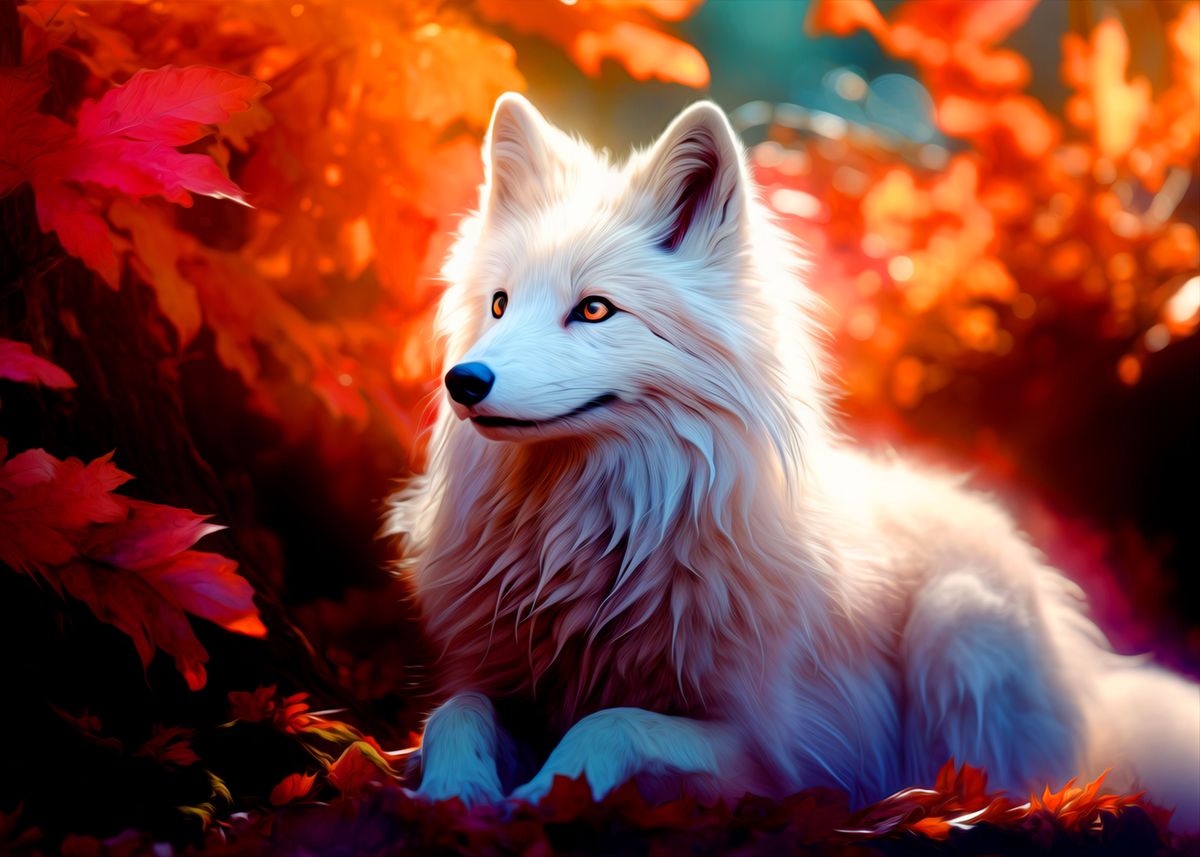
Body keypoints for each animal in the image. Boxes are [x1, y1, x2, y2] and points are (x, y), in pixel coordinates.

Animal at [386, 92, 1200, 826]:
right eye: (499, 304)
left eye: (593, 310)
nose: (464, 381)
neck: (600, 542)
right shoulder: (500, 677)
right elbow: (454, 714)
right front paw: (453, 793)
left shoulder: (775, 754)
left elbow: (609, 724)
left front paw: (540, 794)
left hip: (960, 623)